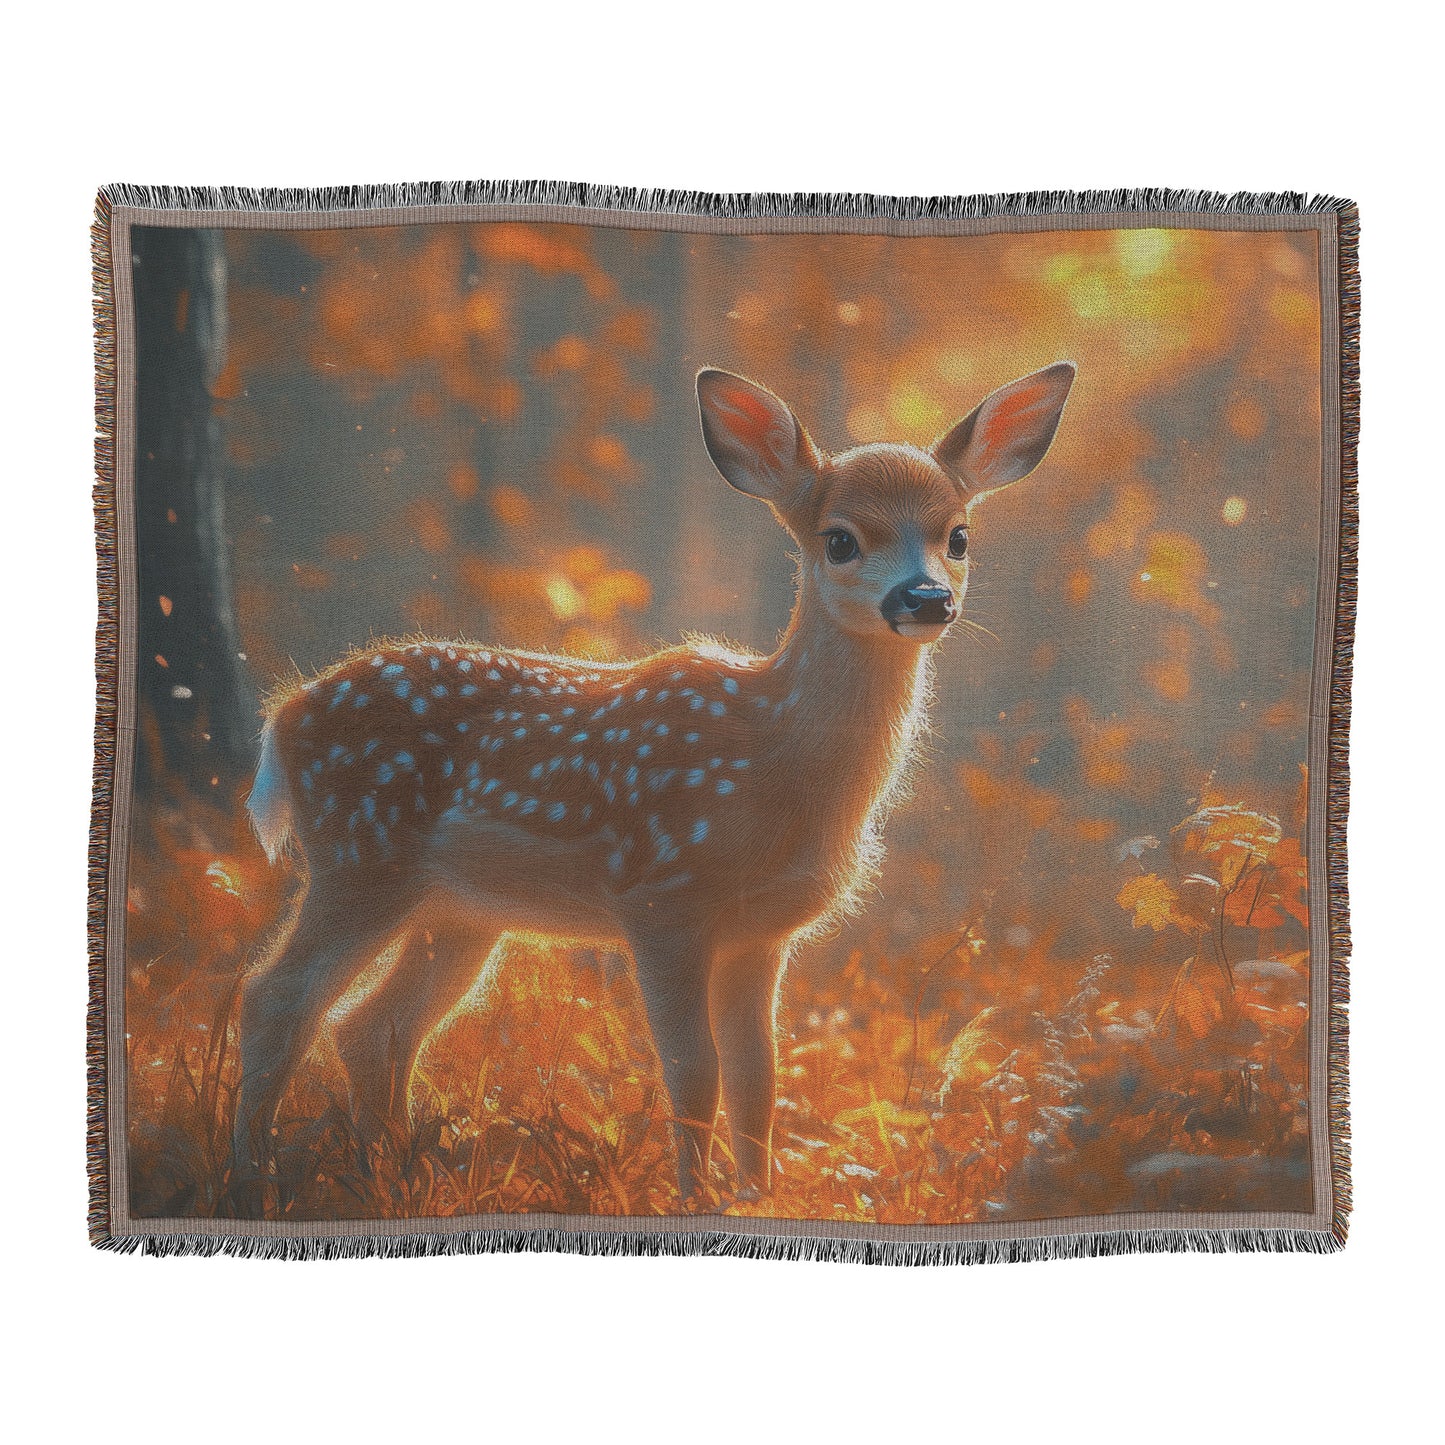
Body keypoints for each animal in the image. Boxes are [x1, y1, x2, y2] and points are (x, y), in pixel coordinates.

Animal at [235, 360, 1076, 1206]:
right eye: (840, 539)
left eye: (957, 535)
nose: (925, 597)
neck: (776, 757)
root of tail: (284, 715)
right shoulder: (661, 897)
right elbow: (693, 1069)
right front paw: (695, 1199)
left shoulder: (760, 931)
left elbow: (758, 1077)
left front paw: (758, 1198)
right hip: (361, 853)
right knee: (275, 996)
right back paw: (255, 1177)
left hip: (459, 908)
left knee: (373, 1025)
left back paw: (393, 1179)